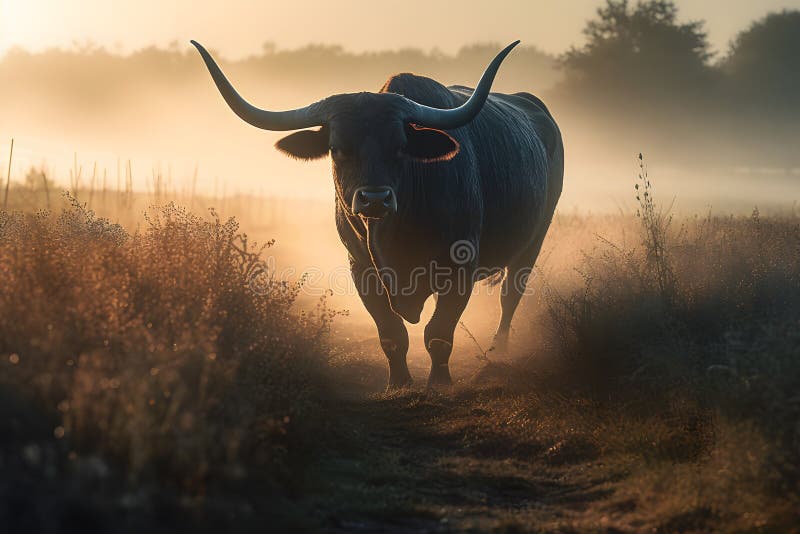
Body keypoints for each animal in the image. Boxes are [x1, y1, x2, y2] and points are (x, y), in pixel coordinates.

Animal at [191, 40, 563, 389]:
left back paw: (499, 351)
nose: (374, 199)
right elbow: (392, 334)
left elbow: (438, 333)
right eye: (337, 149)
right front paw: (398, 382)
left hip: (535, 239)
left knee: (510, 297)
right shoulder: (361, 268)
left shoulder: (461, 264)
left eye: (400, 147)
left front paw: (439, 382)